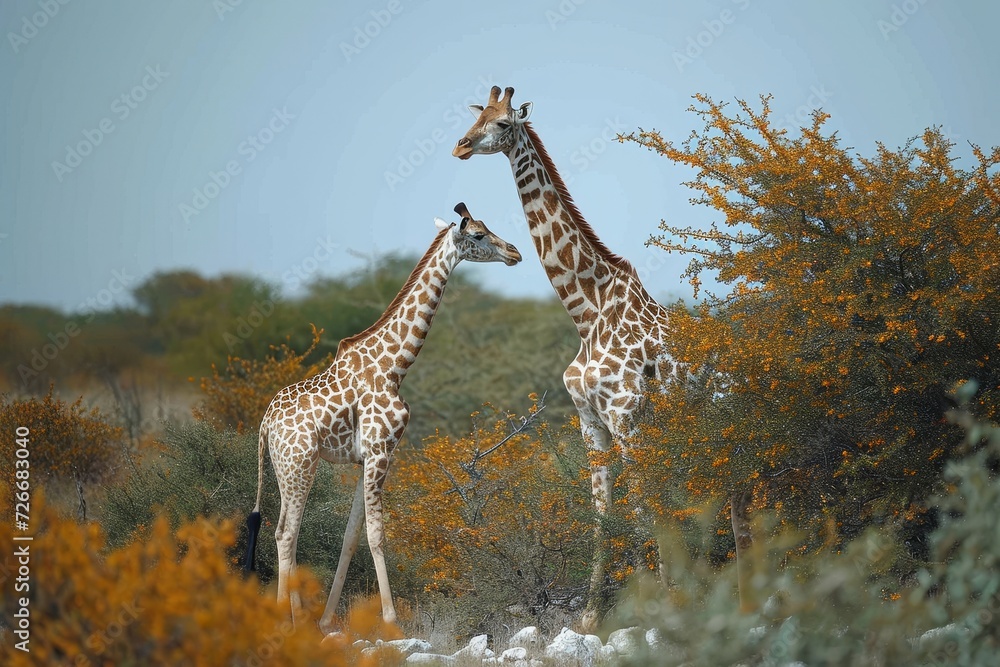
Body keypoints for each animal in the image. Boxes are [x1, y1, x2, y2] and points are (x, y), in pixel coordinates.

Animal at [243, 204, 521, 634]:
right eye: (477, 234)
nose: (514, 252)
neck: (395, 365)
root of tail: (265, 425)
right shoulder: (380, 451)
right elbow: (377, 535)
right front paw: (391, 621)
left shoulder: (367, 457)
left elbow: (351, 537)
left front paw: (328, 621)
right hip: (299, 464)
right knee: (287, 533)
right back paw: (287, 623)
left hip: (285, 466)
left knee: (280, 532)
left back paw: (298, 619)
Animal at [453, 86, 676, 623]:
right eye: (476, 115)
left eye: (503, 123)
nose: (460, 146)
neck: (586, 311)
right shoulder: (590, 421)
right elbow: (601, 514)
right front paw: (592, 616)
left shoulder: (626, 416)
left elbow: (644, 505)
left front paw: (659, 603)